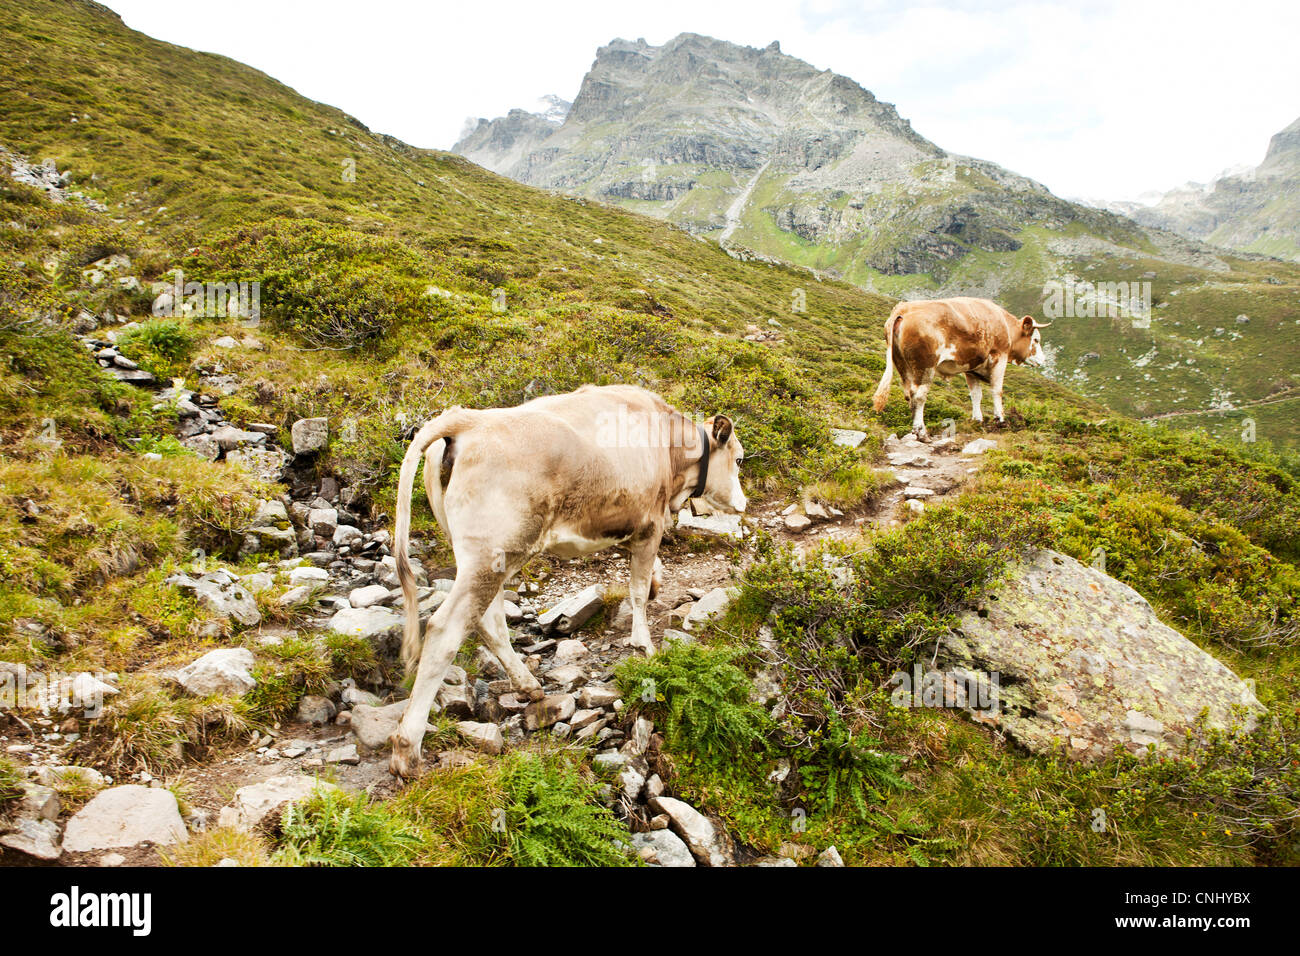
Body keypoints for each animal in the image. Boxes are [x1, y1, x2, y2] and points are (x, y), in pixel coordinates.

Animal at [387, 384, 747, 778]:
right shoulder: (648, 524)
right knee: (445, 629)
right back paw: (407, 748)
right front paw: (644, 644)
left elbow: (648, 574)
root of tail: (468, 418)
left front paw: (656, 583)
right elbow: (637, 590)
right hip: (490, 554)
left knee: (489, 621)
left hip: (490, 556)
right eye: (739, 460)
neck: (668, 445)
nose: (743, 503)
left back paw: (528, 686)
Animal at [871, 296, 1050, 441]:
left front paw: (977, 420)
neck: (1003, 323)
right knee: (919, 395)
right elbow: (997, 390)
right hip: (926, 366)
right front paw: (1000, 420)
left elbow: (976, 394)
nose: (1043, 360)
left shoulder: (971, 368)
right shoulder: (1000, 357)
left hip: (903, 366)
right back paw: (922, 433)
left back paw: (914, 430)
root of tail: (904, 309)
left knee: (909, 394)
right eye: (1036, 339)